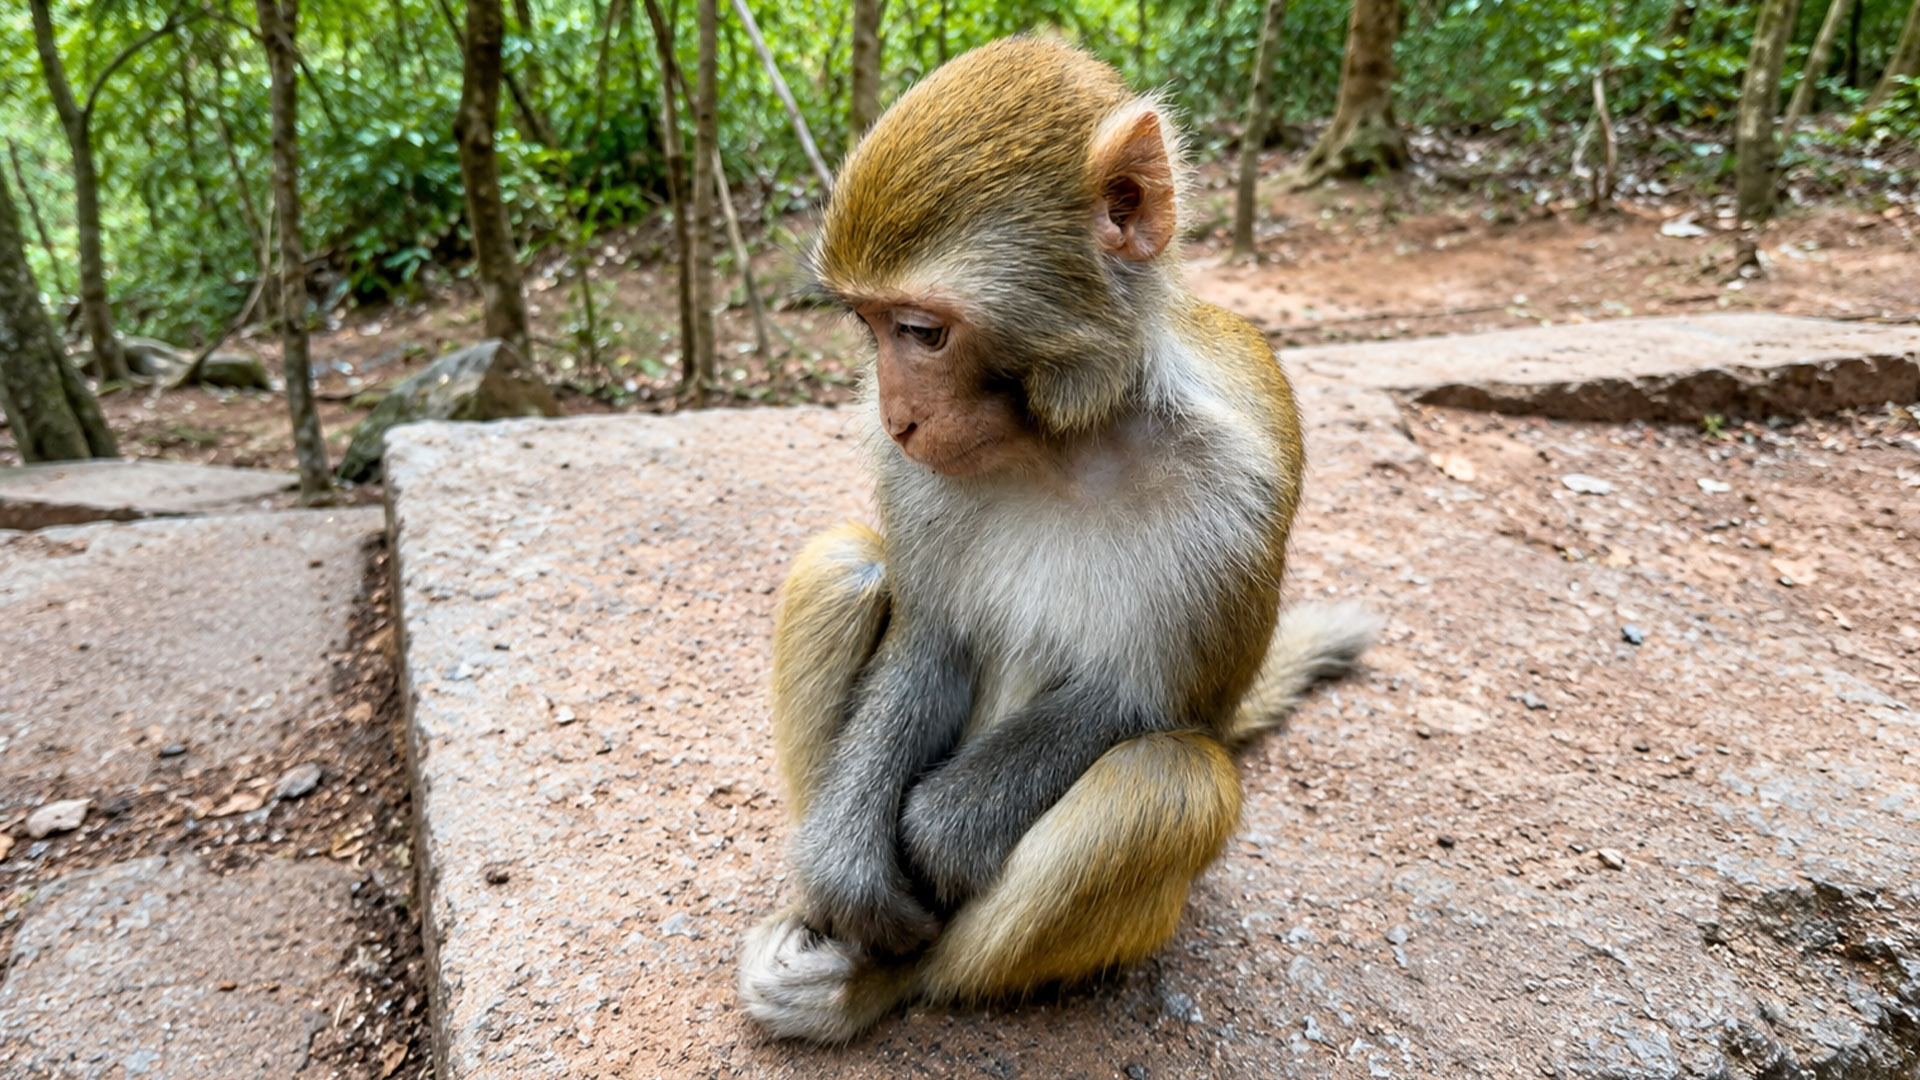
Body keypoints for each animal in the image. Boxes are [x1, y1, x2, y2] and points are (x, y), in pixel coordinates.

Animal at [736, 37, 1378, 1044]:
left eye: (921, 331)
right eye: (866, 325)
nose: (894, 416)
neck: (1067, 440)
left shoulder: (1244, 479)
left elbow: (1157, 699)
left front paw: (942, 829)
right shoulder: (916, 480)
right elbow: (933, 638)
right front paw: (846, 865)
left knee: (1168, 784)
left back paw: (887, 984)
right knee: (843, 562)